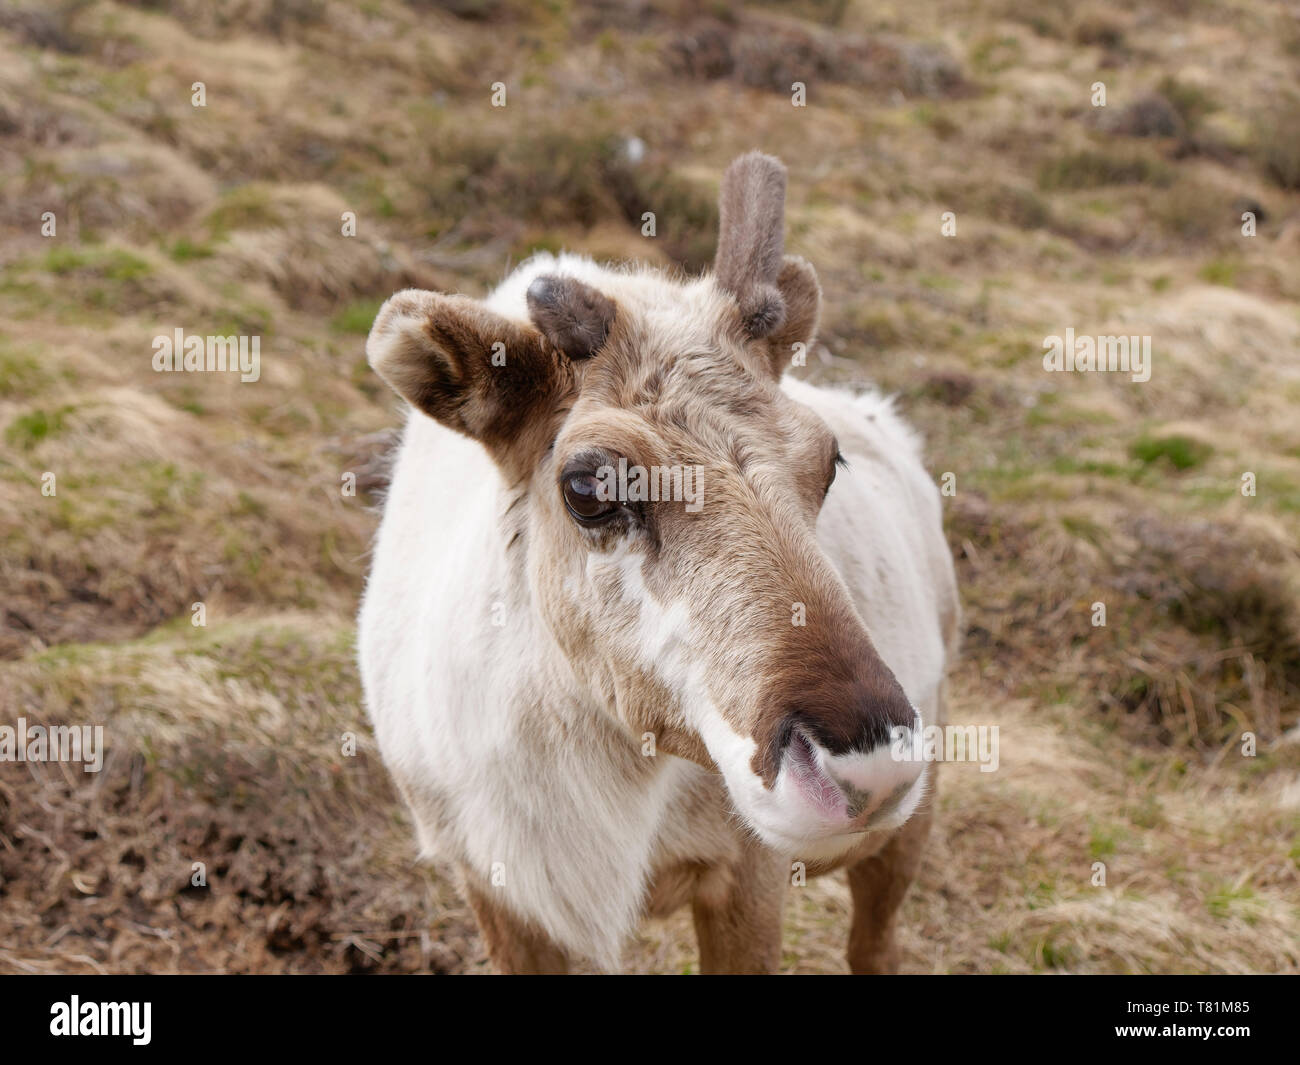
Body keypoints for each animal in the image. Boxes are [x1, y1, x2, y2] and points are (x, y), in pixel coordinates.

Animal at [358, 152, 960, 974]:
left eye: (828, 461)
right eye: (587, 486)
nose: (869, 766)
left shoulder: (749, 874)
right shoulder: (496, 888)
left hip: (912, 820)